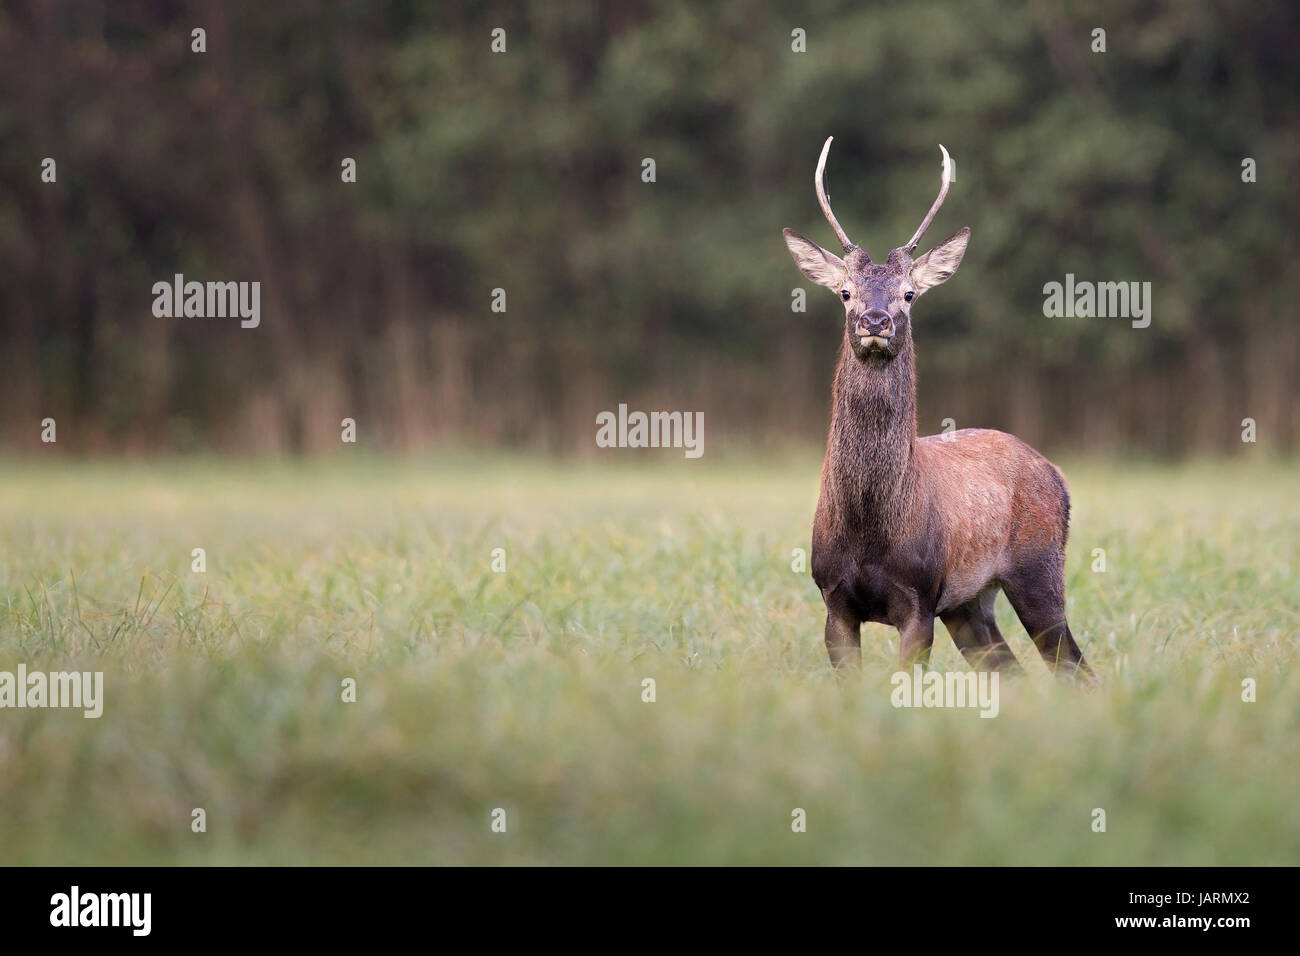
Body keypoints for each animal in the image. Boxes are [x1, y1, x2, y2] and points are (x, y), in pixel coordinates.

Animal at [782, 137, 1093, 681]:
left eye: (909, 293)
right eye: (845, 291)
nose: (875, 320)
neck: (869, 529)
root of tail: (1055, 472)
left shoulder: (921, 596)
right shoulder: (833, 600)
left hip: (1038, 566)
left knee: (1074, 665)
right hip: (970, 603)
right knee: (1010, 668)